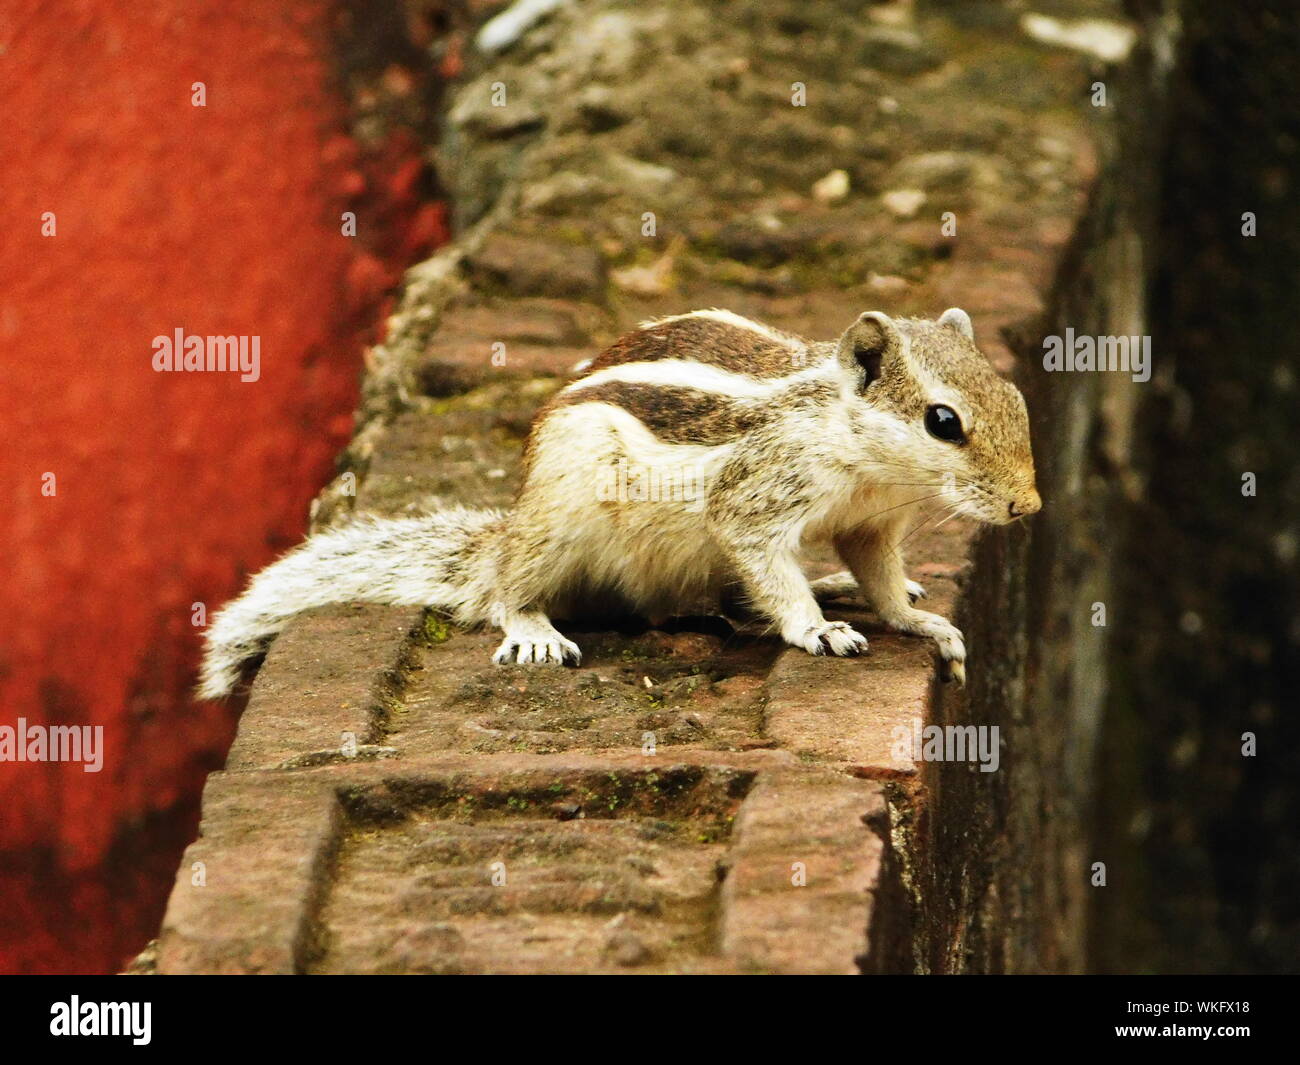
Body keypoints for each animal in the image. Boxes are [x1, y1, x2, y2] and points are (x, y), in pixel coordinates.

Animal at [197, 306, 1040, 700]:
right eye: (943, 421)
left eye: (1013, 396)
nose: (1028, 505)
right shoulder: (756, 499)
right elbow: (765, 559)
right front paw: (816, 628)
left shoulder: (871, 526)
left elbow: (884, 582)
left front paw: (918, 623)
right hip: (560, 516)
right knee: (509, 587)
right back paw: (534, 627)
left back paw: (823, 582)